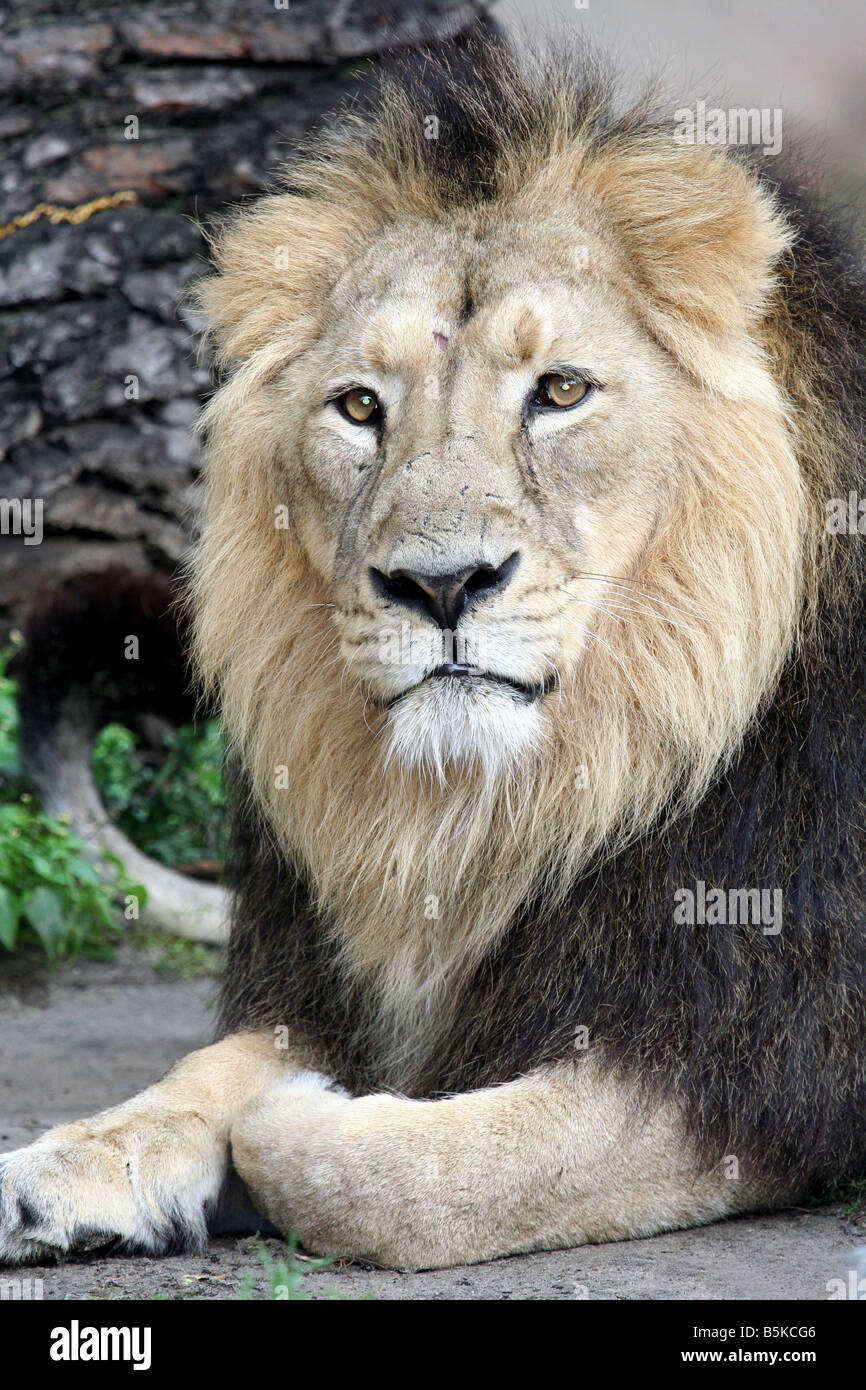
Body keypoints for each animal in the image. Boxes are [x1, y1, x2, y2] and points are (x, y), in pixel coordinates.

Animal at [2, 37, 865, 1273]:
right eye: (360, 407)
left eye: (560, 390)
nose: (441, 585)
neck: (491, 818)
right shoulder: (330, 976)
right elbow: (208, 1067)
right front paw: (76, 1158)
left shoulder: (758, 1058)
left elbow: (417, 1175)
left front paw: (298, 1118)